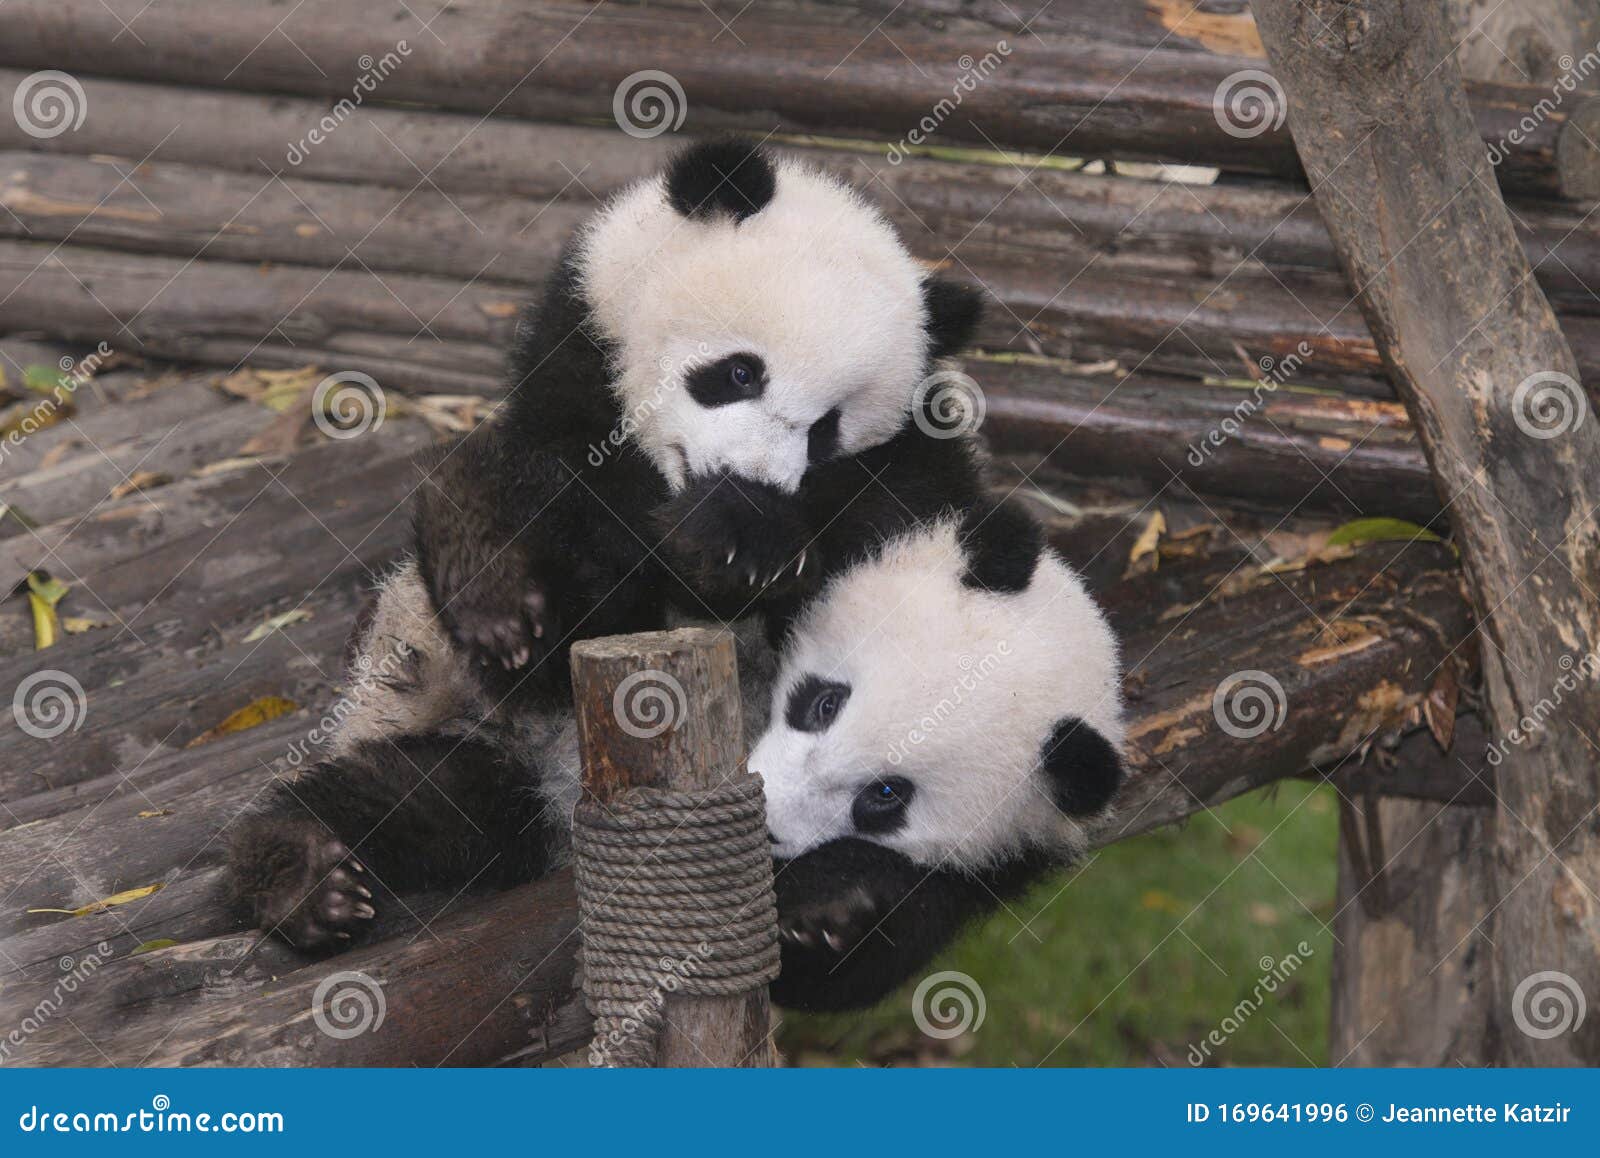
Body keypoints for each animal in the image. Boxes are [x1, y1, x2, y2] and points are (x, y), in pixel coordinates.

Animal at [224, 503, 1126, 1013]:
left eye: (885, 797)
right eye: (825, 701)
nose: (768, 812)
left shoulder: (988, 872)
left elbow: (855, 962)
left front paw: (831, 913)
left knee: (440, 810)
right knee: (383, 796)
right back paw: (304, 877)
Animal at [416, 136, 986, 692]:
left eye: (827, 428)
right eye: (741, 373)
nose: (745, 479)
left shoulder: (912, 462)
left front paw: (744, 535)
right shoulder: (575, 377)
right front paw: (504, 610)